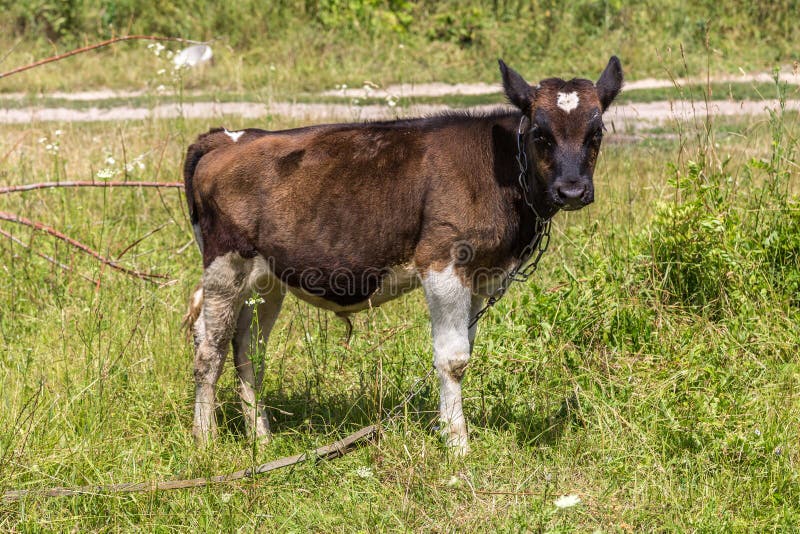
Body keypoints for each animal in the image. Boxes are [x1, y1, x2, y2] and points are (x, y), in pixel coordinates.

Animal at [183, 57, 623, 454]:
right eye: (539, 133)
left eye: (596, 132)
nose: (571, 190)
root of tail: (231, 137)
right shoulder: (442, 260)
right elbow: (453, 359)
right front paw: (457, 444)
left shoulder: (483, 273)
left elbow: (465, 348)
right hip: (226, 263)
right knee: (210, 349)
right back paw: (205, 440)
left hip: (267, 280)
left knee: (247, 349)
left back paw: (260, 437)